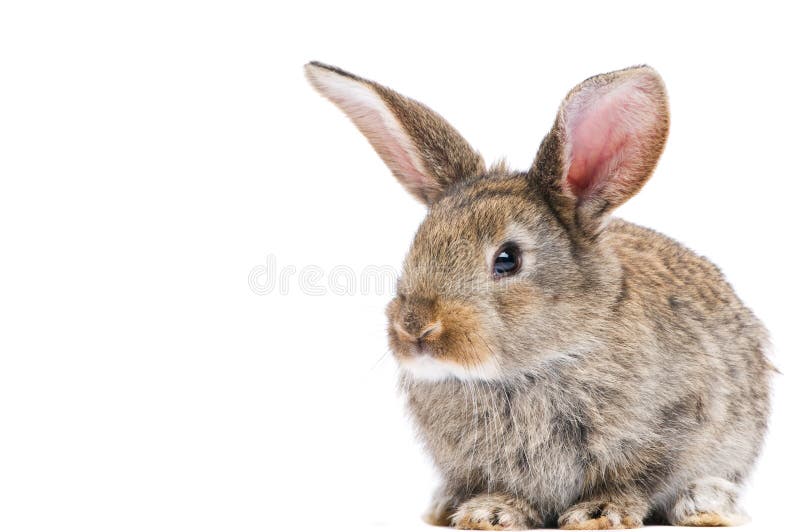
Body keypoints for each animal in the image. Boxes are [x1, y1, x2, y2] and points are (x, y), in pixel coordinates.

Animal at [305, 61, 773, 530]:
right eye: (416, 245)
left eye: (507, 259)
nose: (415, 328)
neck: (535, 366)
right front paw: (491, 511)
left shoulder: (673, 427)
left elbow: (633, 480)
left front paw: (597, 512)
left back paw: (705, 504)